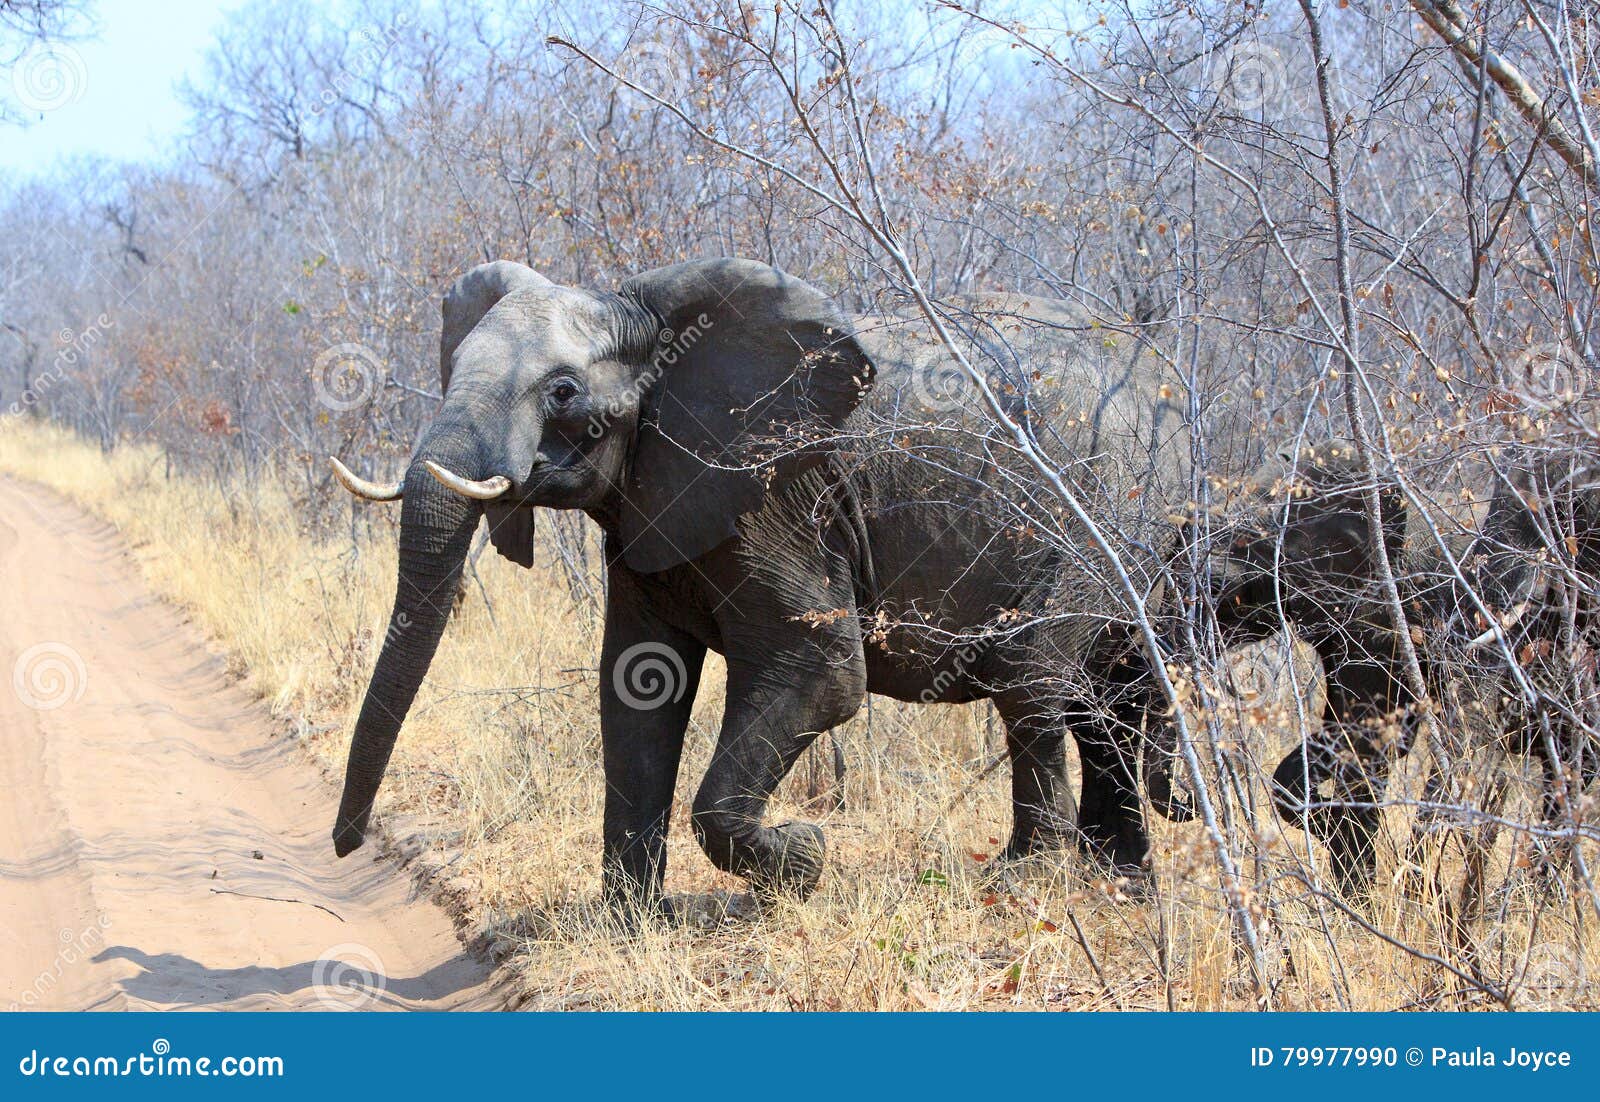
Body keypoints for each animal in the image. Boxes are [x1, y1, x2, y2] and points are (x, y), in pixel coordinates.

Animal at [327, 256, 1192, 918]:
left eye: (562, 392)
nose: (346, 844)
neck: (652, 322)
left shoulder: (777, 495)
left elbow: (821, 674)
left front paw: (803, 859)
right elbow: (636, 689)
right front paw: (630, 923)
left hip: (1099, 518)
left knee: (1035, 679)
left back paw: (1027, 882)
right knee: (1109, 692)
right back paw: (1121, 878)